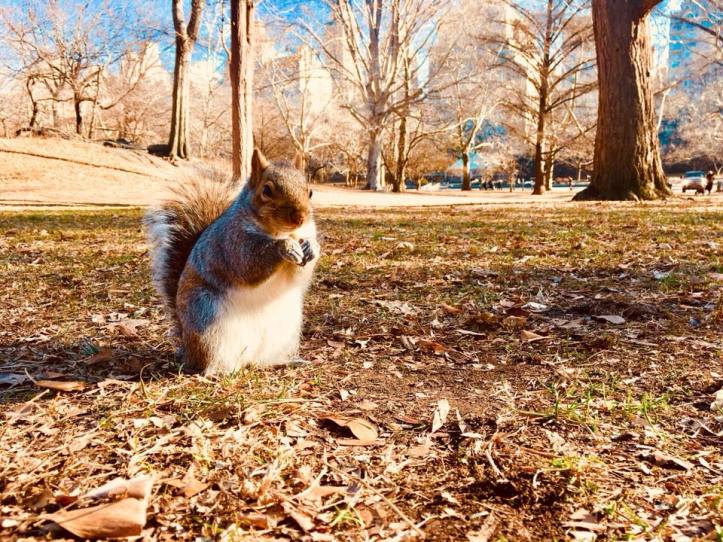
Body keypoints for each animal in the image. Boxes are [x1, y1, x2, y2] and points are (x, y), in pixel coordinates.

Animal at [144, 149, 320, 374]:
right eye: (267, 191)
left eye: (310, 192)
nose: (299, 217)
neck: (282, 232)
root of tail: (187, 352)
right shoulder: (233, 244)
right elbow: (250, 262)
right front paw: (285, 247)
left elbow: (300, 275)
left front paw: (311, 247)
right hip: (207, 322)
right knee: (209, 362)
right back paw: (216, 372)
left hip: (284, 333)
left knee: (262, 360)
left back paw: (283, 362)